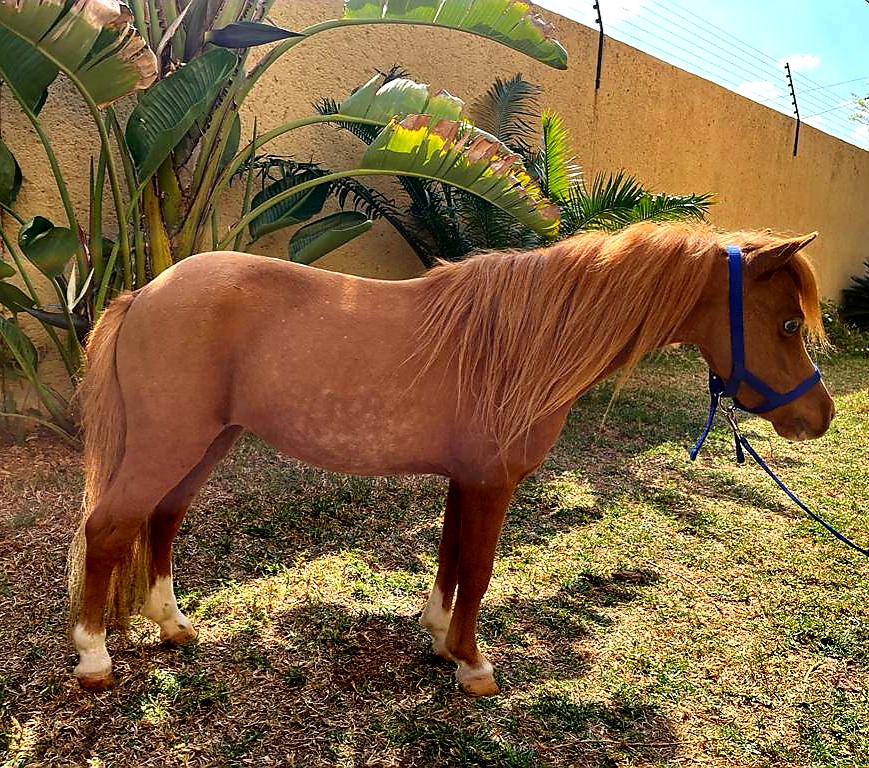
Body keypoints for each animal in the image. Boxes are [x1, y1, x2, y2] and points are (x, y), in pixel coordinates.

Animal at [67, 222, 834, 696]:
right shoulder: (493, 483)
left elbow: (449, 557)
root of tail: (147, 292)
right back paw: (94, 657)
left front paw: (438, 636)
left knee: (161, 521)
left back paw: (173, 626)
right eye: (786, 324)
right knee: (107, 530)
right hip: (169, 443)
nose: (818, 418)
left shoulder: (466, 481)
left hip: (204, 444)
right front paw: (472, 664)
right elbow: (480, 567)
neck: (523, 342)